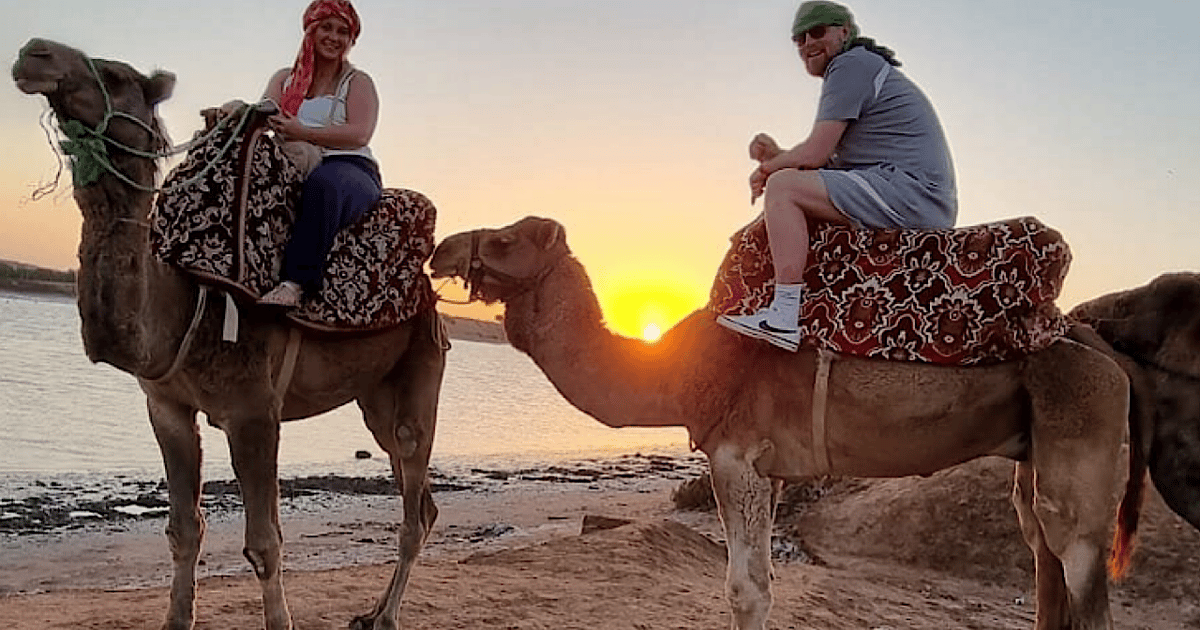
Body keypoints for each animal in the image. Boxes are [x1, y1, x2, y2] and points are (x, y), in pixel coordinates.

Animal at [13, 39, 444, 630]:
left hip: (421, 372)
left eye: (116, 75)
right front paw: (176, 618)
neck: (185, 300)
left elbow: (265, 543)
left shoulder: (254, 411)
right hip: (374, 396)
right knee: (421, 499)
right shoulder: (166, 407)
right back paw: (372, 610)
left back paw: (386, 617)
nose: (34, 54)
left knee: (413, 501)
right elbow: (183, 531)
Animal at [430, 216, 1139, 630]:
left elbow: (746, 590)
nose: (441, 250)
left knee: (1078, 562)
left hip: (1084, 428)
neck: (677, 373)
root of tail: (1093, 345)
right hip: (1035, 451)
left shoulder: (736, 457)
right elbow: (761, 581)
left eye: (504, 239)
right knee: (1042, 557)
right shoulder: (769, 470)